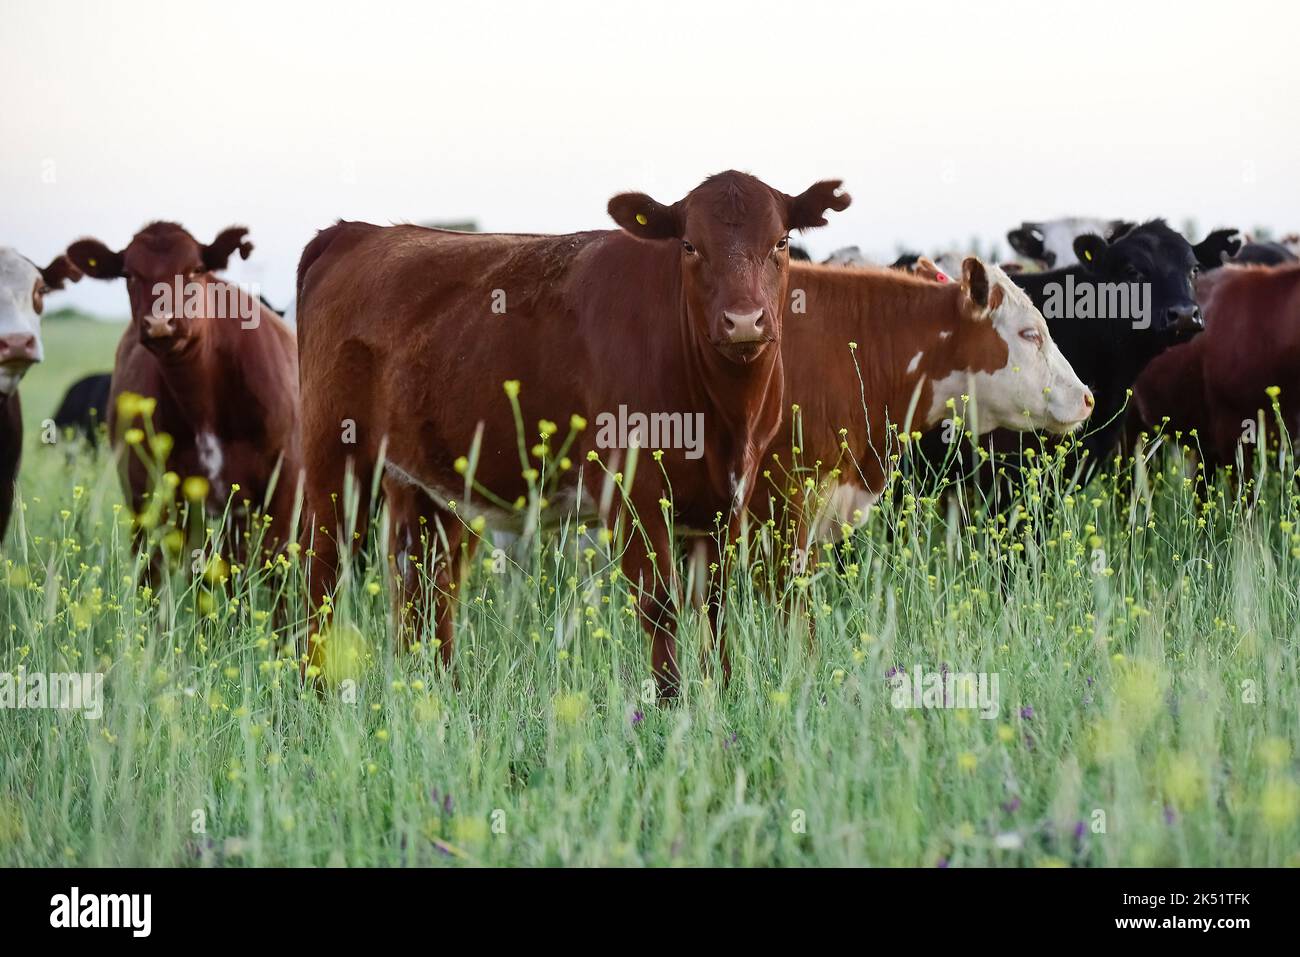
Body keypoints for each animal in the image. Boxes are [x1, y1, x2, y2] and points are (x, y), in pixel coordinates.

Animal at [294, 171, 850, 695]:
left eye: (781, 241)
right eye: (691, 245)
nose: (744, 321)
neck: (725, 418)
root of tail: (356, 232)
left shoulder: (728, 494)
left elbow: (715, 603)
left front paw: (723, 692)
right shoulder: (629, 487)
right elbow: (660, 604)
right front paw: (672, 704)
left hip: (425, 484)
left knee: (426, 590)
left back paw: (442, 693)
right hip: (335, 460)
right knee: (321, 571)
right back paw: (315, 693)